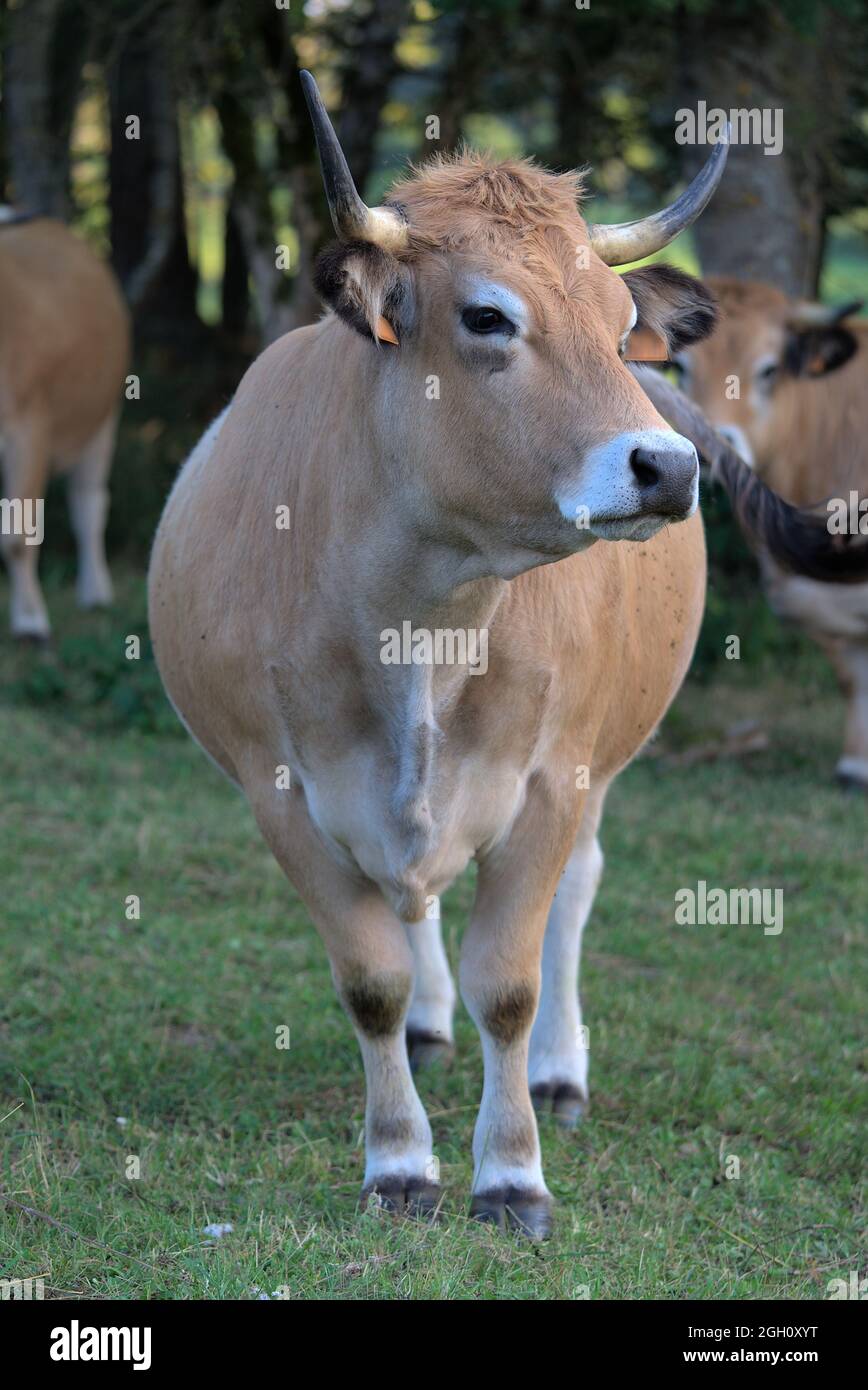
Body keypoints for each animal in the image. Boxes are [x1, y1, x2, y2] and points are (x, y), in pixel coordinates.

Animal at [0, 211, 130, 640]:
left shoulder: (27, 427)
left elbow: (17, 535)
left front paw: (29, 622)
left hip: (103, 418)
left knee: (89, 505)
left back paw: (95, 591)